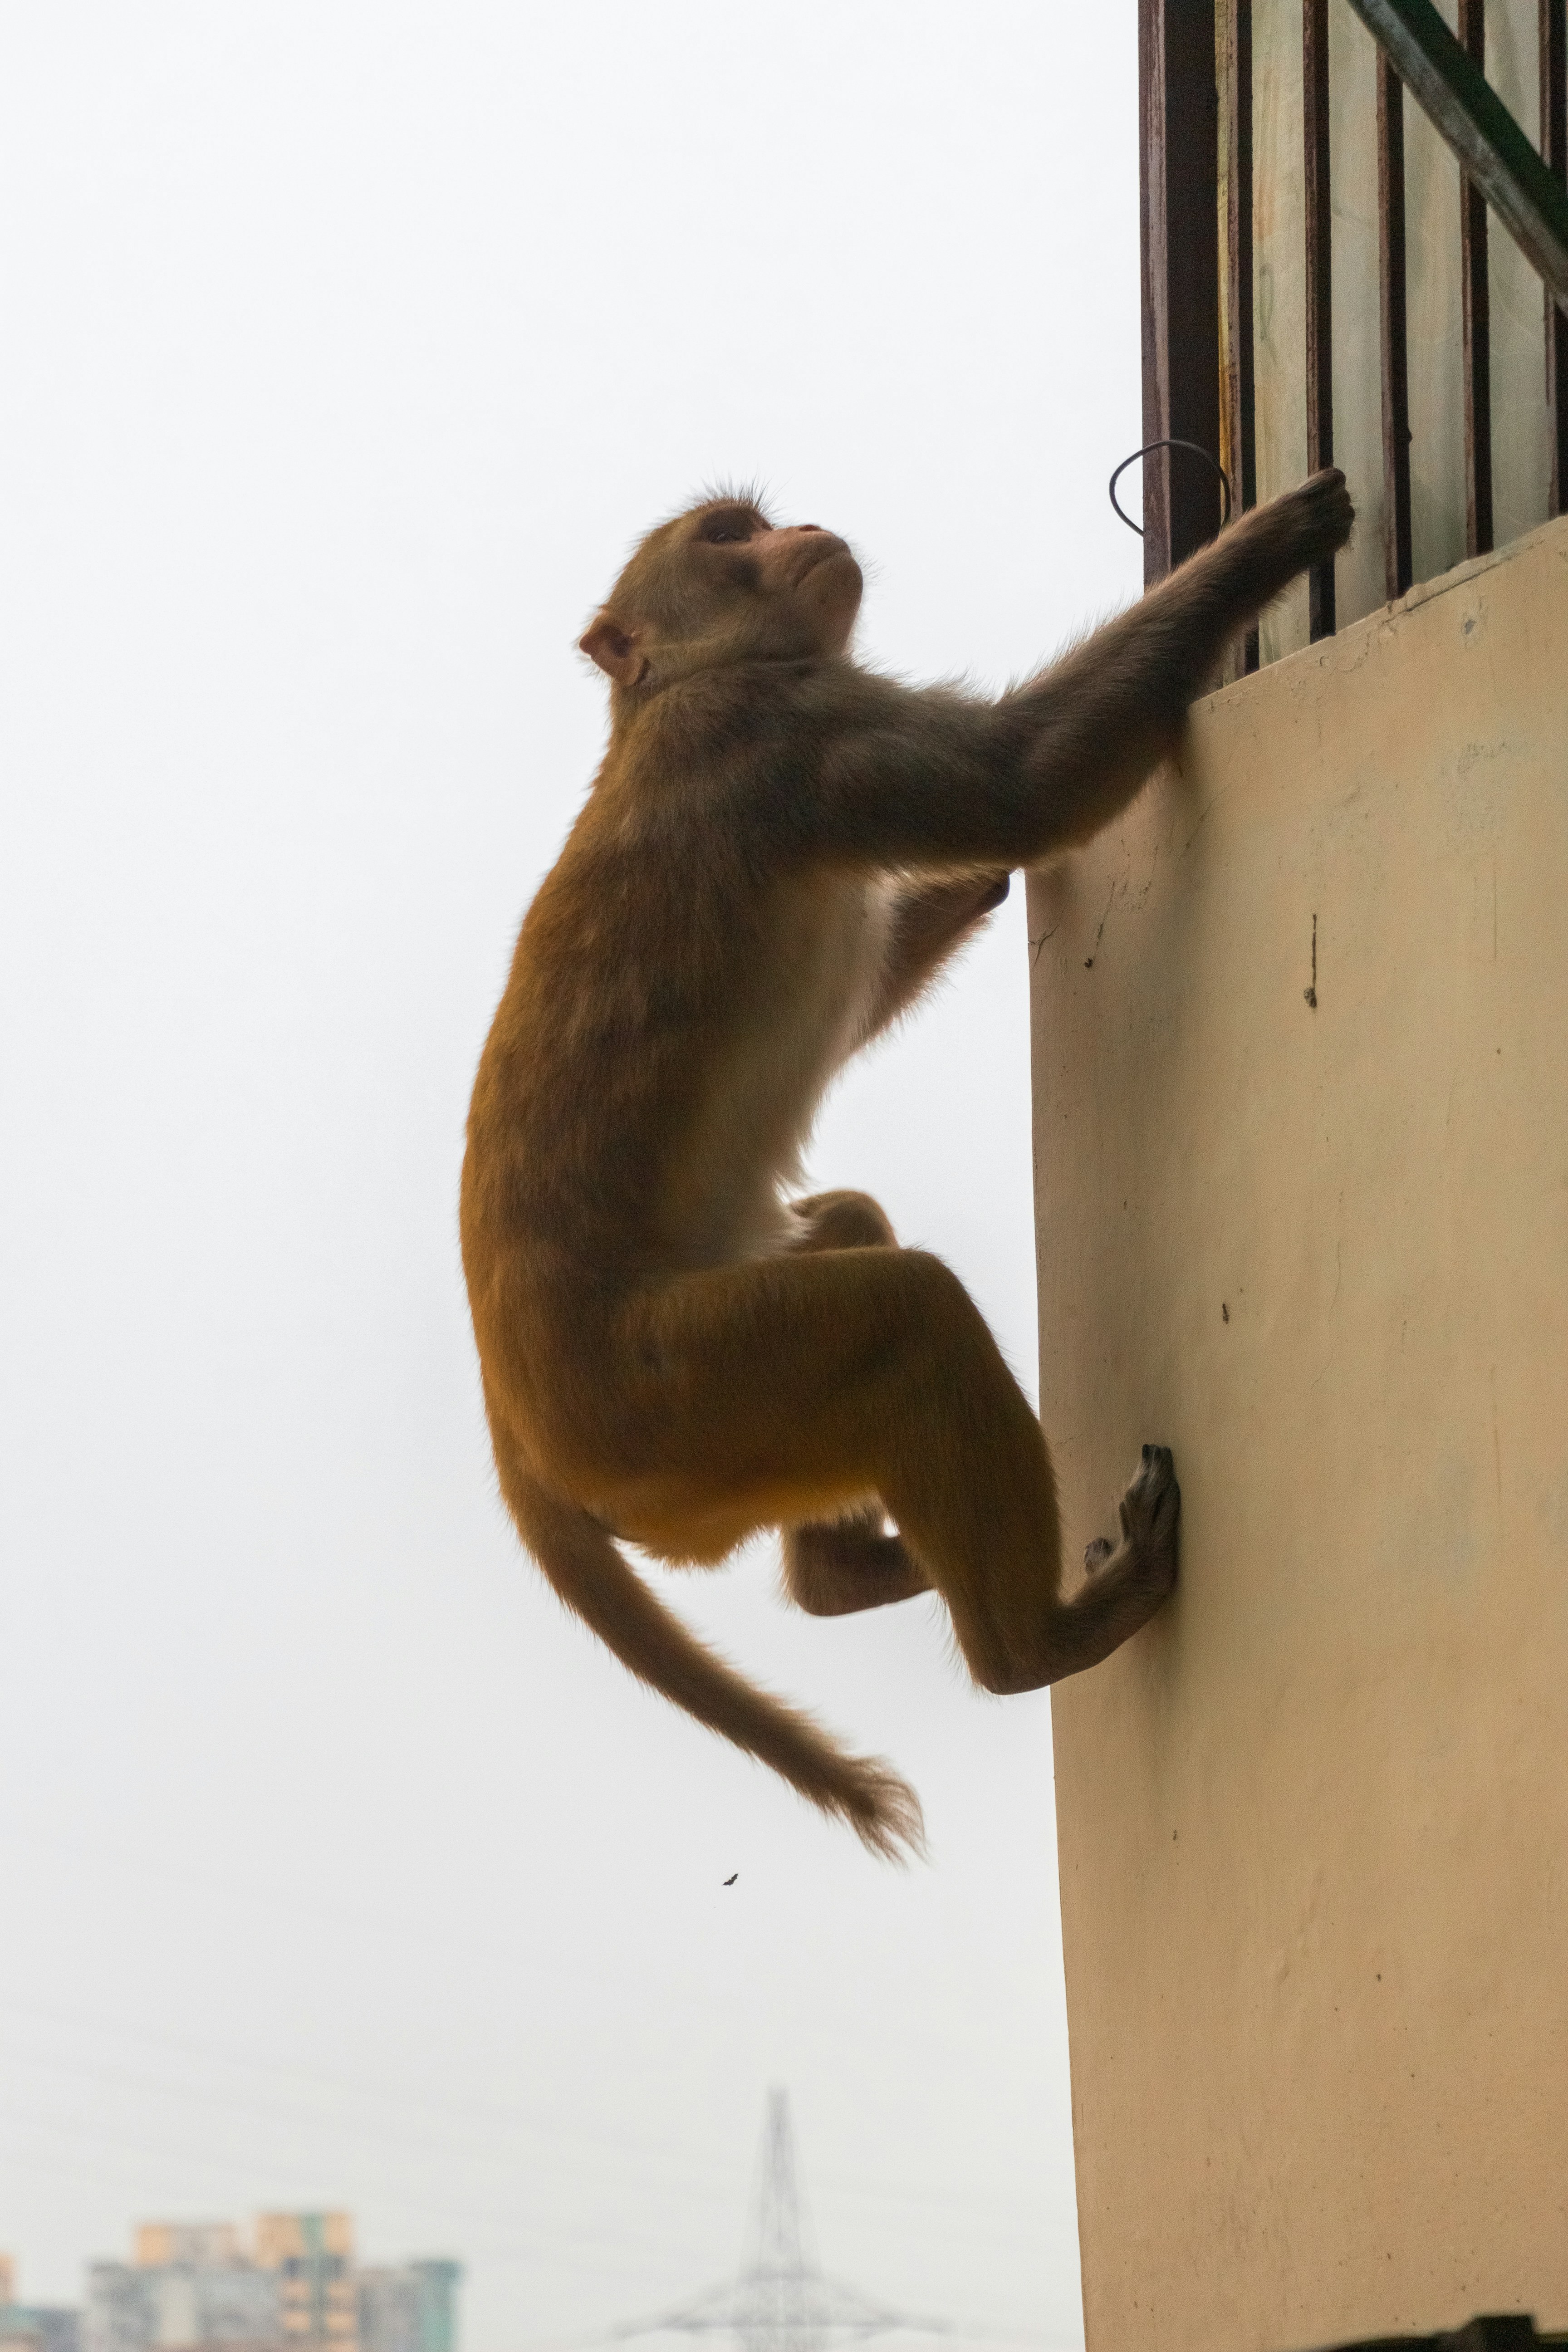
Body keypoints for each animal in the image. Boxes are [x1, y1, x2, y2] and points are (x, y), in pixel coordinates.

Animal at [460, 467, 1355, 1858]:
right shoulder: (782, 731)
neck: (667, 697)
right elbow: (1017, 781)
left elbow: (882, 968)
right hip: (660, 1402)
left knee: (840, 1232)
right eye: (728, 536)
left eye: (758, 516)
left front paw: (983, 886)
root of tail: (519, 1436)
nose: (802, 530)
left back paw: (846, 1572)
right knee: (901, 1316)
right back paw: (1033, 1644)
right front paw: (1270, 544)